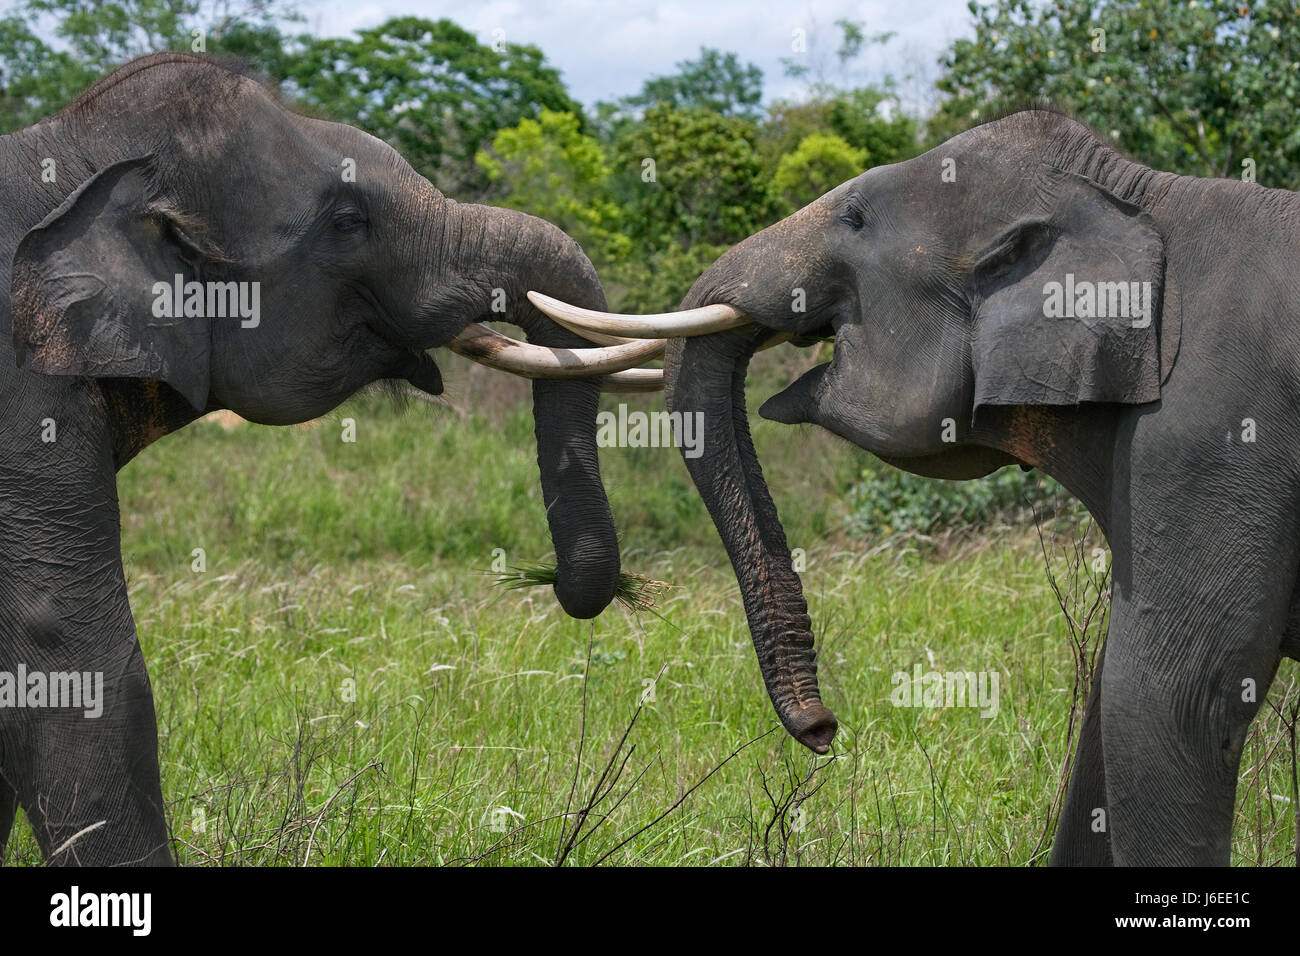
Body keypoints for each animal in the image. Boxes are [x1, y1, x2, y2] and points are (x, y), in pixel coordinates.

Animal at [531, 108, 1300, 866]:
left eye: (856, 218)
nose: (824, 730)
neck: (1137, 193)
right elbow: (1112, 709)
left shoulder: (1212, 436)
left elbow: (1168, 700)